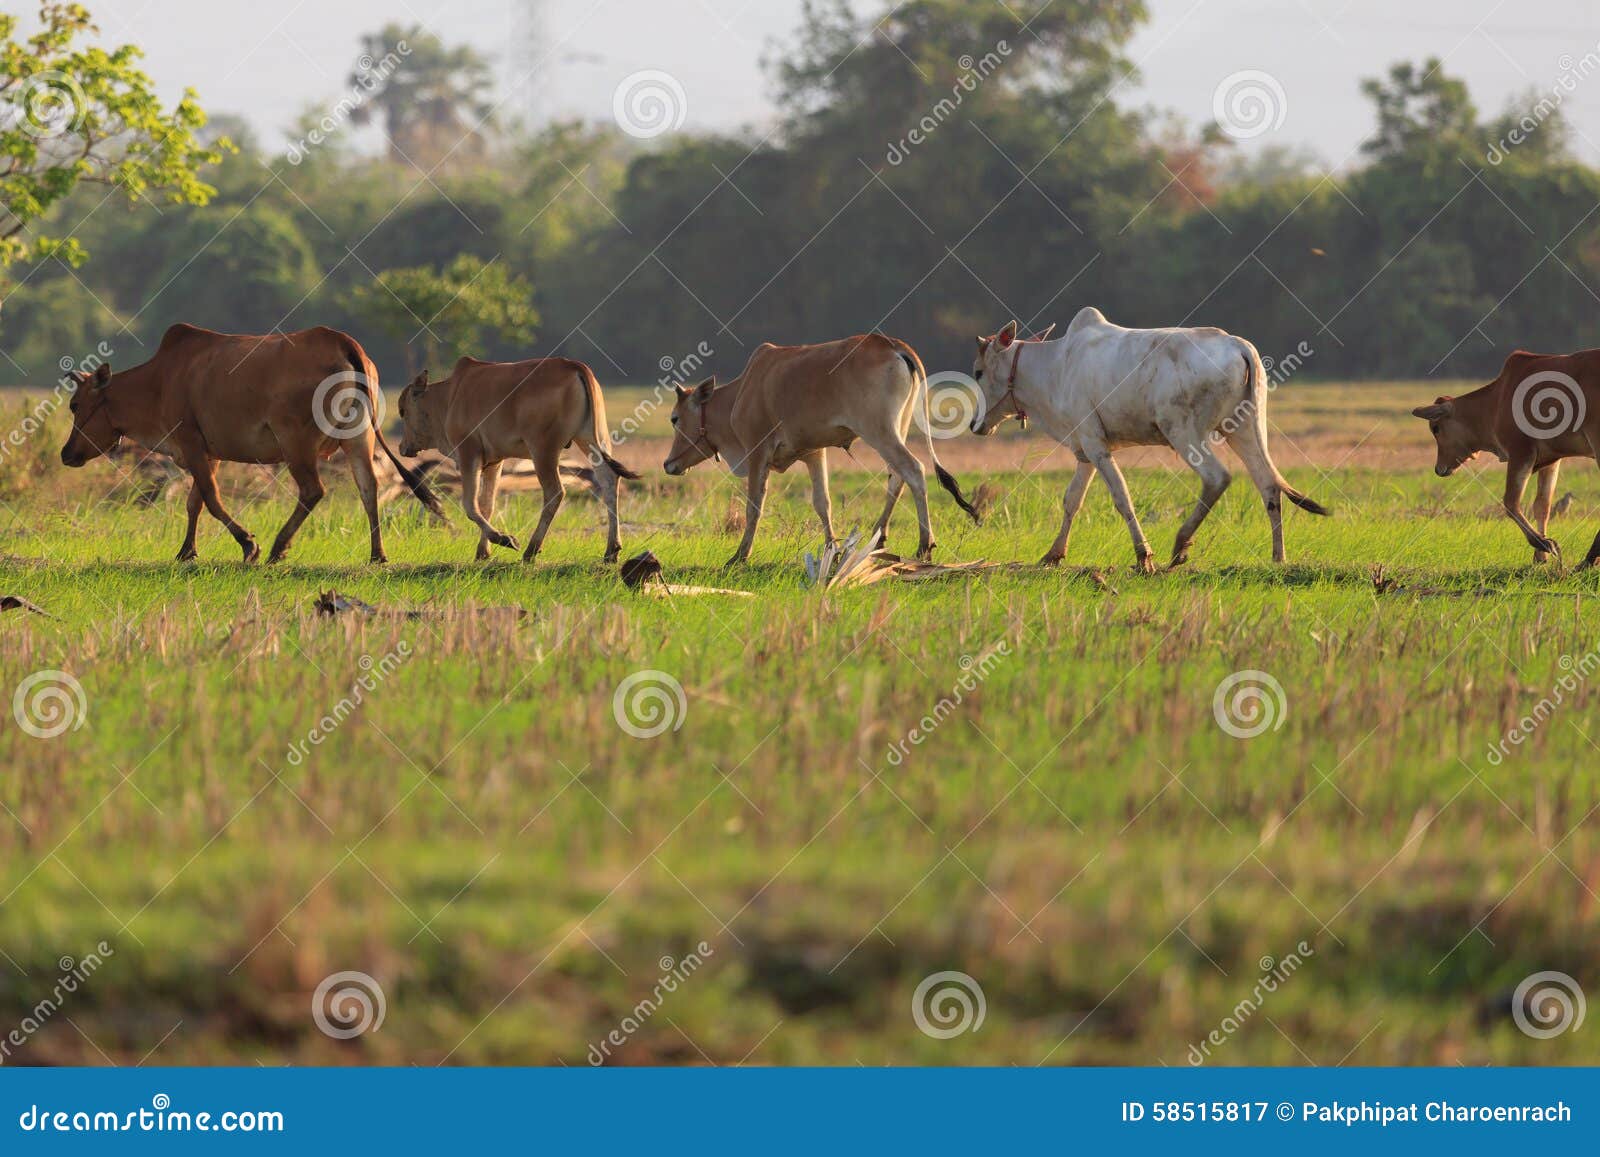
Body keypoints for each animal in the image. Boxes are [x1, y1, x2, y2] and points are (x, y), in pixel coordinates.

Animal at [58, 324, 443, 563]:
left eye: (75, 405)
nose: (66, 453)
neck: (159, 381)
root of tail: (343, 343)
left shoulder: (191, 442)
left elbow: (211, 499)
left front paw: (247, 544)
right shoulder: (209, 452)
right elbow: (195, 502)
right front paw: (186, 551)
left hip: (296, 442)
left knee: (313, 490)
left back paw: (278, 547)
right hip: (358, 439)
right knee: (368, 488)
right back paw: (377, 554)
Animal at [397, 356, 640, 563]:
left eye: (402, 410)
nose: (402, 447)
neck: (449, 397)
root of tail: (574, 365)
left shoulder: (468, 454)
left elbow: (470, 505)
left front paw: (504, 539)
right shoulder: (494, 462)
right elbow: (487, 504)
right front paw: (482, 552)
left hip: (543, 450)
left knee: (555, 492)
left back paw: (531, 550)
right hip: (592, 439)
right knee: (609, 480)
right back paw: (611, 550)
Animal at [661, 334, 980, 564]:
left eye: (675, 418)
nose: (667, 464)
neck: (740, 393)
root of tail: (891, 344)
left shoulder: (757, 451)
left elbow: (754, 506)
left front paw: (739, 556)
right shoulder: (815, 453)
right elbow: (822, 503)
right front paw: (832, 550)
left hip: (879, 431)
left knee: (914, 470)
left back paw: (924, 545)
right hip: (897, 428)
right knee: (897, 477)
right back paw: (879, 537)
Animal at [970, 308, 1329, 571]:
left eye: (977, 371)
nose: (975, 424)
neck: (1054, 366)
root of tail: (1238, 346)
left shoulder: (1096, 446)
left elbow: (1121, 498)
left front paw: (1143, 556)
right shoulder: (1086, 448)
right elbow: (1072, 501)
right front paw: (1053, 554)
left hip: (1182, 430)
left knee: (1218, 477)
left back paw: (1180, 544)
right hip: (1243, 429)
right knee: (1268, 484)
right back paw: (1278, 558)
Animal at [1412, 347, 1600, 566]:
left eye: (1436, 428)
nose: (1438, 468)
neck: (1496, 400)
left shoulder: (1521, 452)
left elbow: (1511, 502)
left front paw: (1543, 543)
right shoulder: (1552, 459)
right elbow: (1542, 505)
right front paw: (1540, 557)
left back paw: (1588, 559)